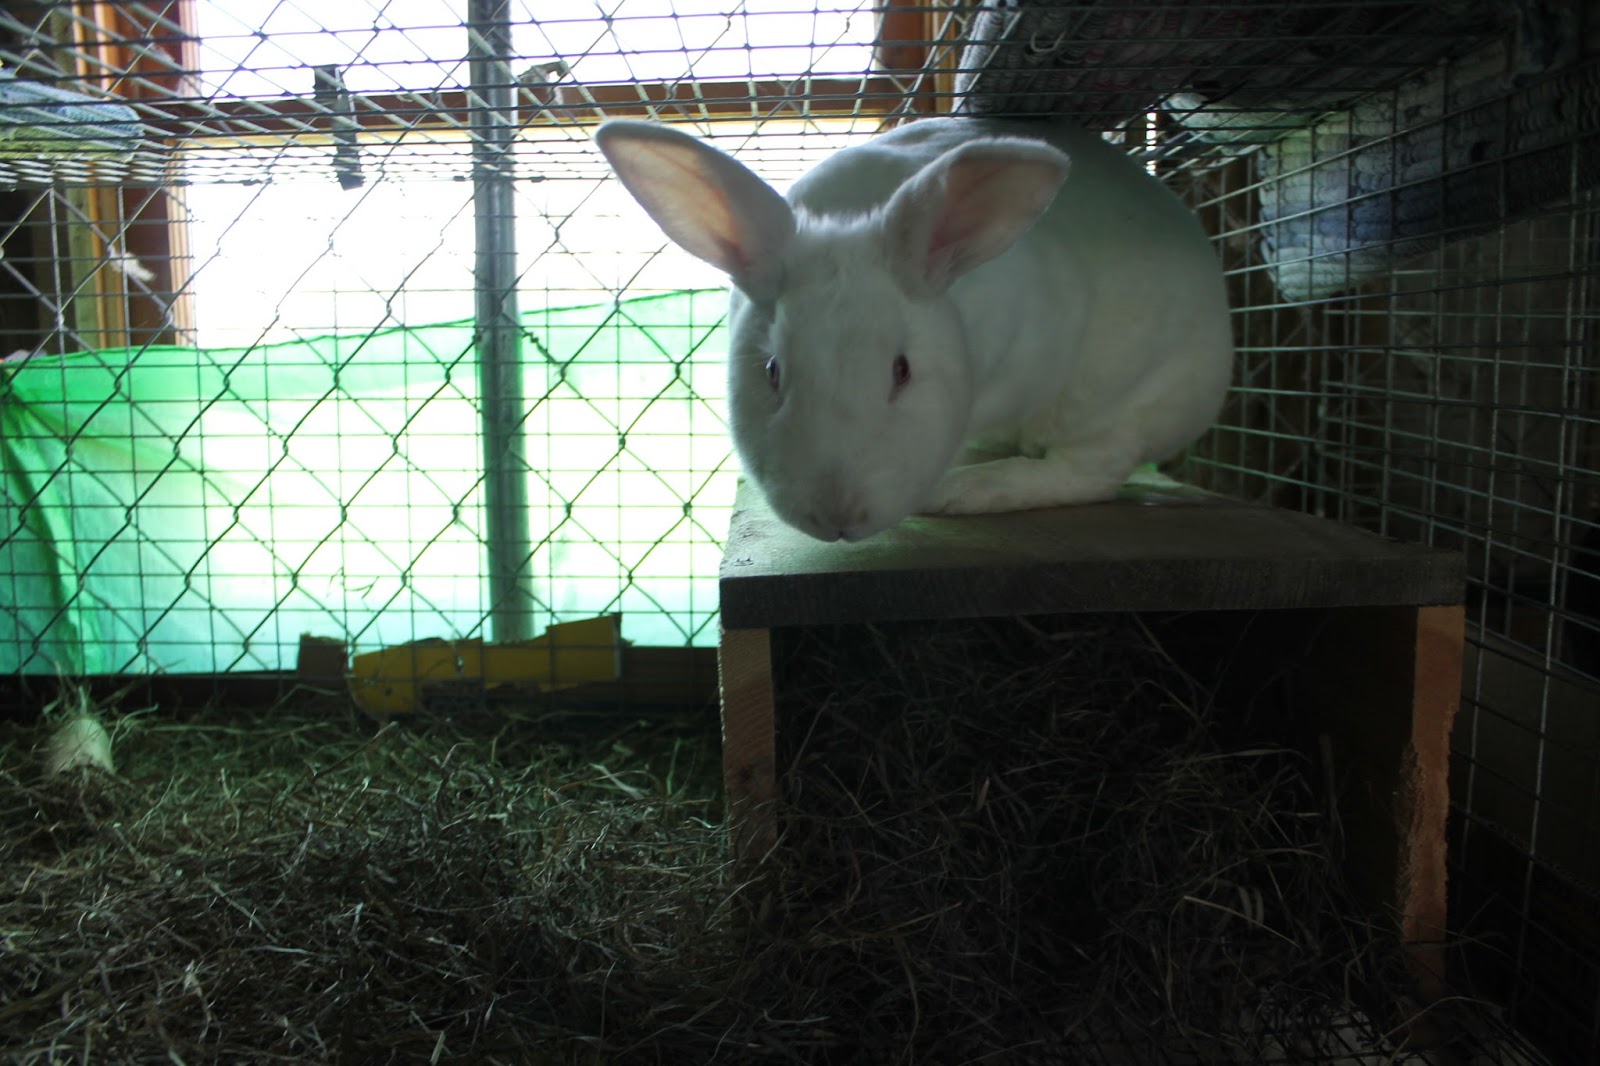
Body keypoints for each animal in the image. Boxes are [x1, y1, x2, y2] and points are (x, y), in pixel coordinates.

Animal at [593, 116, 1233, 542]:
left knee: (1086, 473)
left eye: (902, 371)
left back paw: (964, 491)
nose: (837, 518)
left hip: (1118, 399)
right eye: (772, 372)